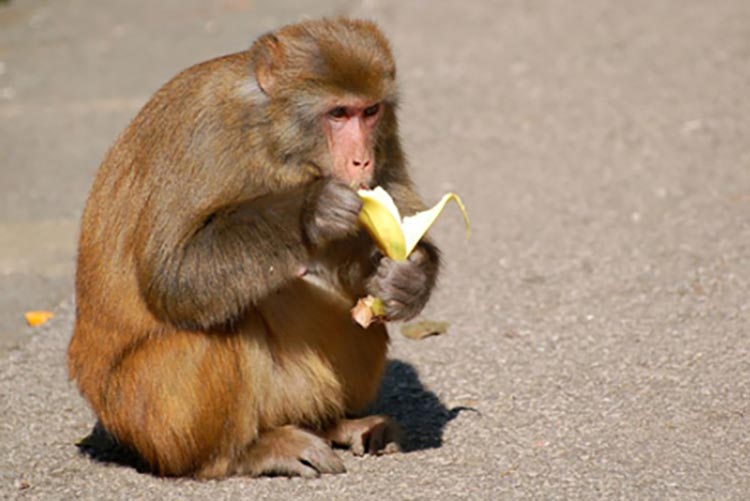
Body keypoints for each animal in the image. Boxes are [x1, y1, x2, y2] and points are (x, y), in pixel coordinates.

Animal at [68, 17, 440, 478]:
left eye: (369, 112)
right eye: (338, 113)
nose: (362, 161)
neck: (273, 138)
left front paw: (409, 279)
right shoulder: (203, 135)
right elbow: (174, 275)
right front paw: (312, 210)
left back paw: (332, 424)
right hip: (145, 417)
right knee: (220, 322)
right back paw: (245, 453)